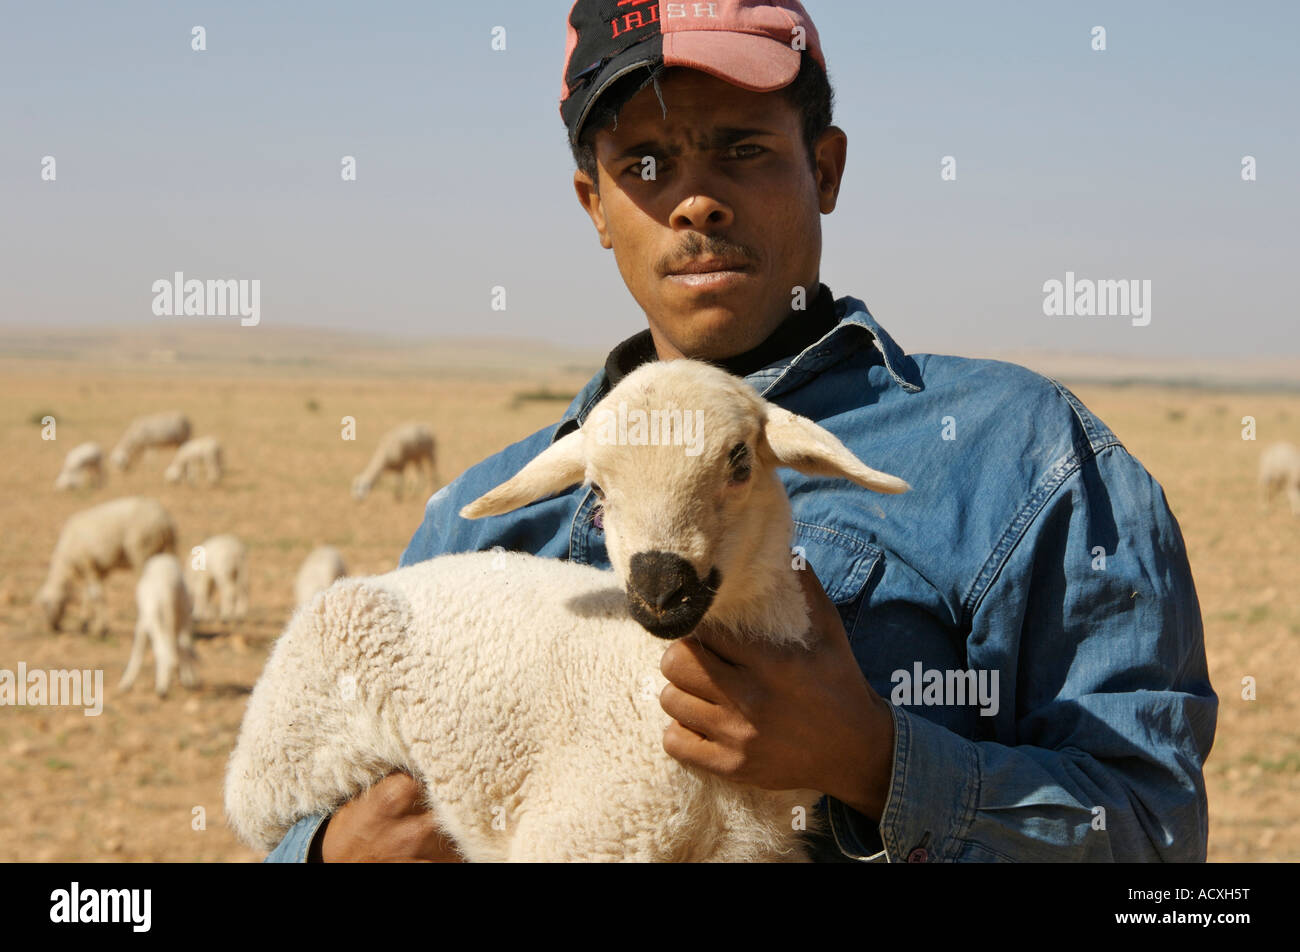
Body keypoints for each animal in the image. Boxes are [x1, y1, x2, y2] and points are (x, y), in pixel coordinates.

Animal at [35, 496, 177, 637]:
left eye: (46, 605)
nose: (53, 628)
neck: (66, 562)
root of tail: (165, 520)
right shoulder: (99, 570)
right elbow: (88, 595)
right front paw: (84, 624)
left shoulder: (88, 563)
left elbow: (96, 595)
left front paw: (100, 629)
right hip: (167, 549)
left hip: (141, 550)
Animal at [120, 553, 197, 696]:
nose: (162, 692)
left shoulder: (143, 622)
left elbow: (139, 649)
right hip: (180, 616)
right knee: (180, 643)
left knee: (165, 647)